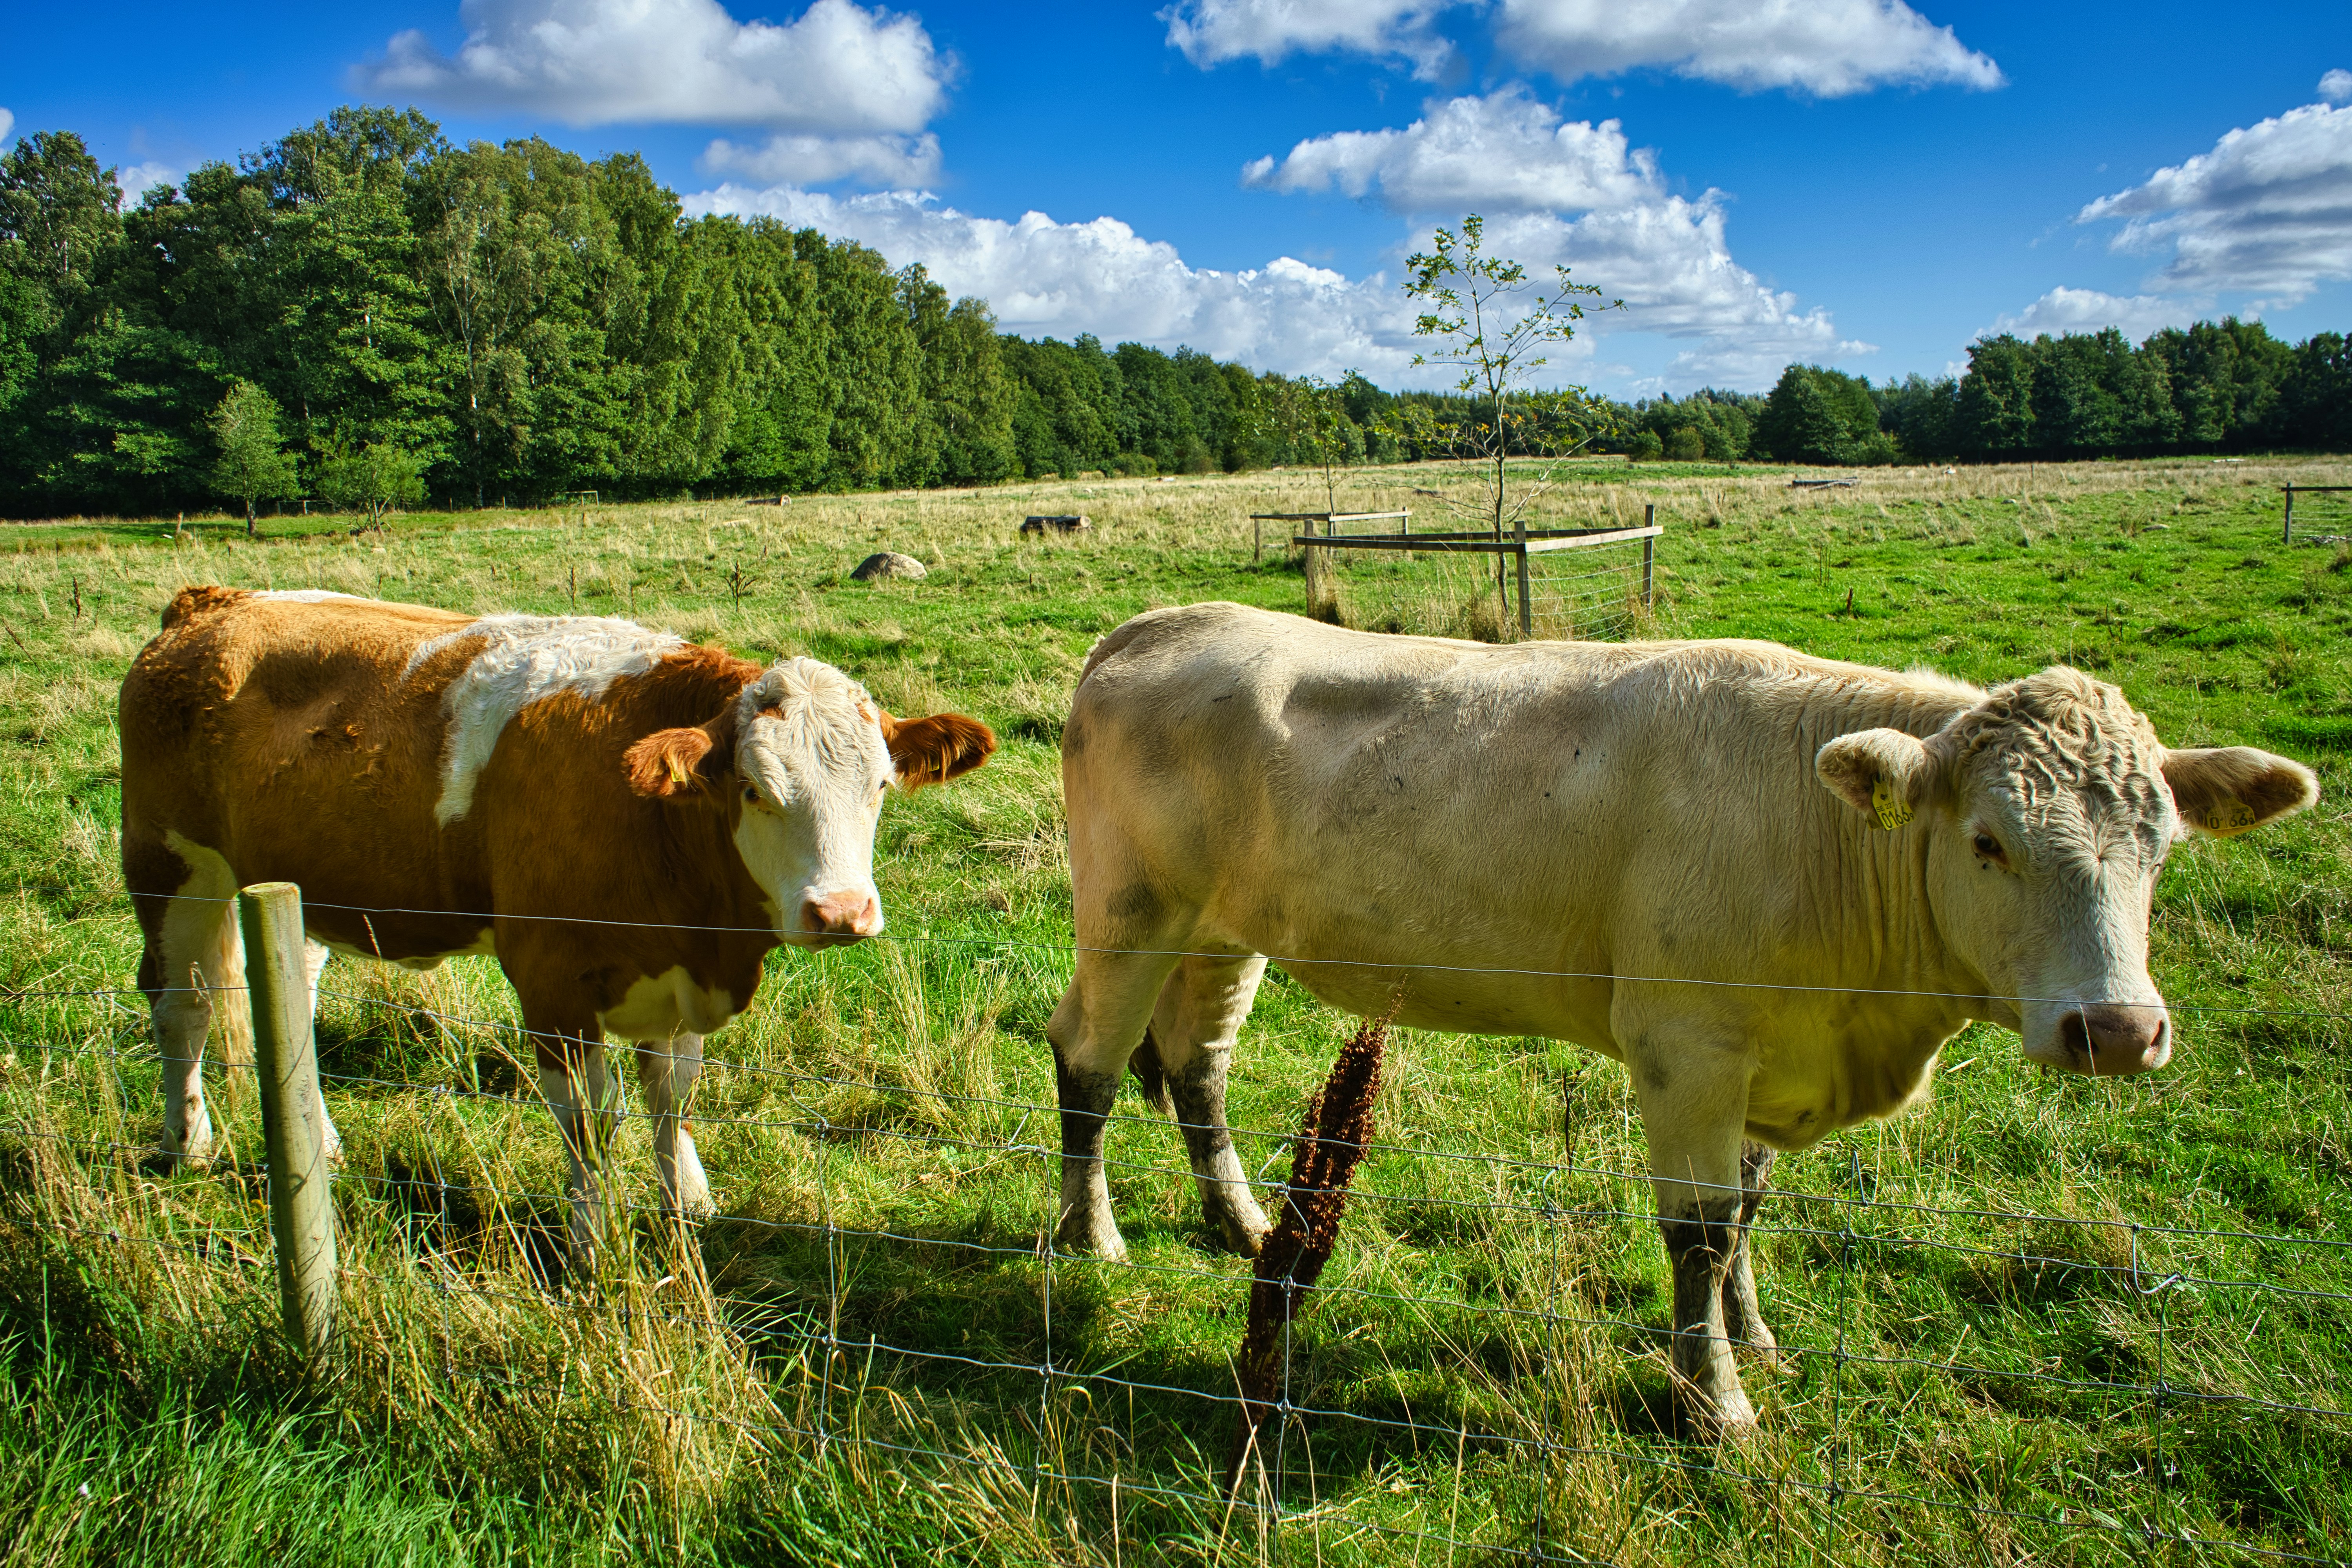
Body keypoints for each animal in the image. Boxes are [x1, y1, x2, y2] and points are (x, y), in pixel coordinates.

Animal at [121, 587, 994, 1253]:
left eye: (881, 785)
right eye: (753, 788)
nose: (842, 912)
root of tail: (215, 602)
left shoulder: (676, 971)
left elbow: (672, 1094)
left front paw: (687, 1202)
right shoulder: (550, 979)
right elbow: (588, 1118)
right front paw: (590, 1236)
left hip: (293, 888)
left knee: (290, 997)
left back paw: (321, 1143)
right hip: (169, 865)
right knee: (180, 1006)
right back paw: (186, 1143)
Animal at [1046, 602, 2317, 1432]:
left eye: (2161, 843)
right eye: (1986, 841)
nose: (2118, 1030)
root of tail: (1153, 624)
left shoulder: (1767, 1051)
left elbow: (1747, 1211)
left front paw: (1752, 1337)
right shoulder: (1686, 1046)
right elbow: (1699, 1232)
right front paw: (1717, 1401)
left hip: (1223, 929)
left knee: (1198, 1066)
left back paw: (1243, 1224)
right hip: (1129, 910)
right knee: (1088, 1060)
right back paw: (1086, 1236)